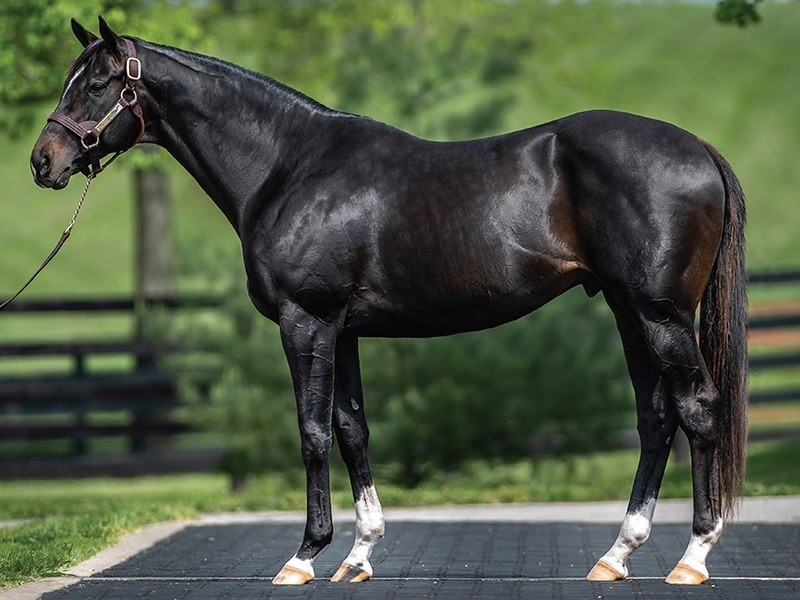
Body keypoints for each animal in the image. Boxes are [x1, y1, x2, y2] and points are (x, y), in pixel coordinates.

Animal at [30, 17, 748, 586]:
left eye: (98, 84)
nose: (43, 162)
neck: (288, 166)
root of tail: (698, 148)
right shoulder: (342, 330)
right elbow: (353, 430)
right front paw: (358, 555)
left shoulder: (306, 322)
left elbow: (314, 432)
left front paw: (304, 556)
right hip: (628, 310)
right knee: (656, 417)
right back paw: (616, 556)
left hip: (660, 314)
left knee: (699, 409)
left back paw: (693, 557)